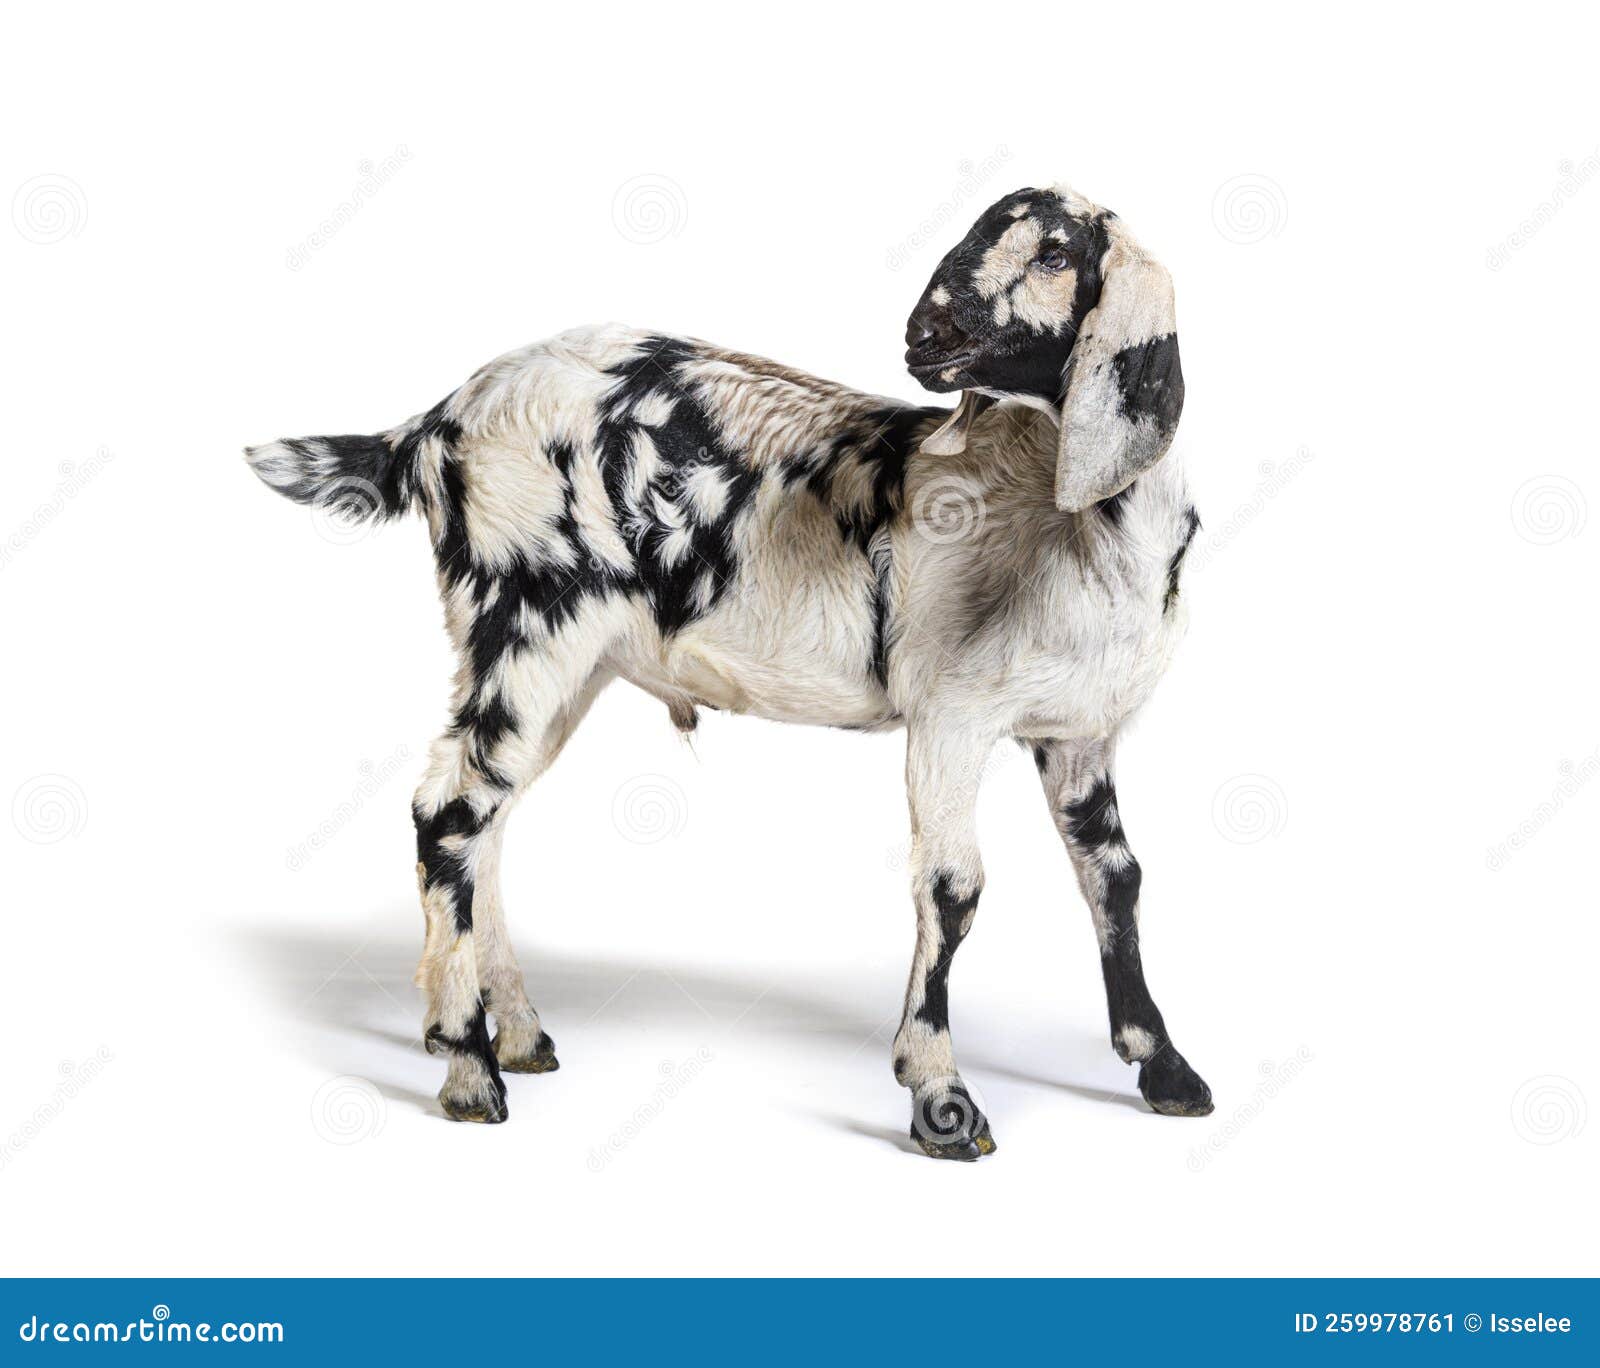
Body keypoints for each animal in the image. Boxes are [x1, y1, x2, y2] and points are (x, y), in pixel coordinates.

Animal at [246, 183, 1211, 1160]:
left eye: (1056, 254)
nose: (923, 335)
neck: (1068, 519)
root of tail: (443, 416)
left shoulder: (1083, 733)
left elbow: (1116, 876)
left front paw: (1165, 1068)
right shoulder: (951, 717)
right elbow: (954, 890)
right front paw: (941, 1099)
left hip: (567, 665)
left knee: (486, 825)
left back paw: (514, 1032)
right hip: (522, 623)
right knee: (448, 813)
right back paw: (469, 1068)